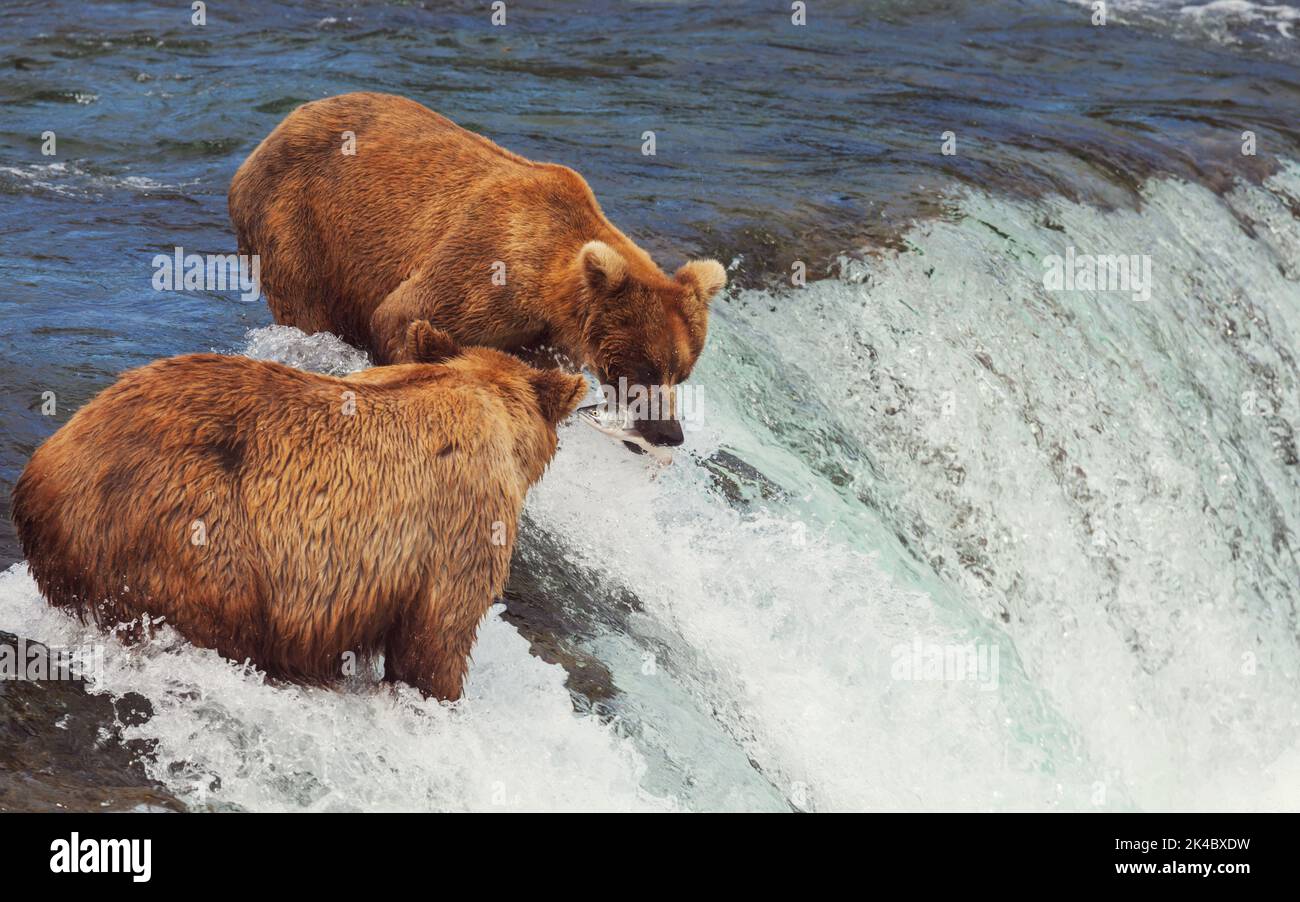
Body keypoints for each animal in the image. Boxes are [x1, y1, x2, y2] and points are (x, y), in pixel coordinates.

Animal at [228, 91, 726, 447]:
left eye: (682, 373)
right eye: (646, 367)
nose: (669, 432)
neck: (548, 292)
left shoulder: (542, 336)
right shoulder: (482, 270)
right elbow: (402, 317)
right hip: (301, 228)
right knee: (311, 312)